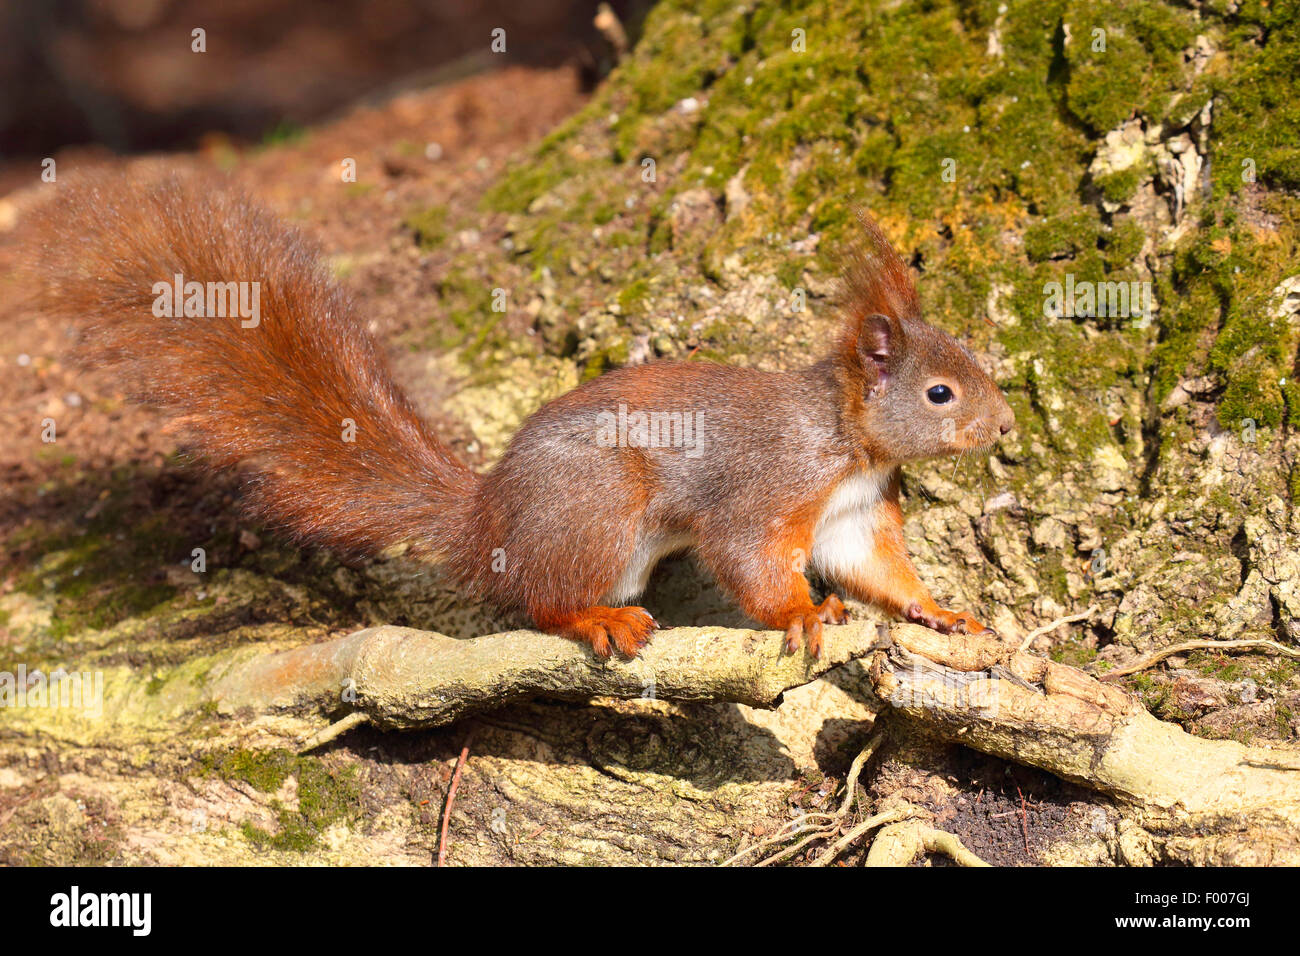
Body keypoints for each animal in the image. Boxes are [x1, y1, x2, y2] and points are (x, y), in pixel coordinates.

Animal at [31, 175, 1014, 659]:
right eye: (940, 392)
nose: (1005, 427)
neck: (846, 442)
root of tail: (487, 518)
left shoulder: (857, 512)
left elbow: (879, 570)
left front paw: (944, 614)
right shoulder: (767, 490)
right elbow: (750, 562)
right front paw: (802, 615)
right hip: (599, 513)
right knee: (538, 603)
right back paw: (596, 622)